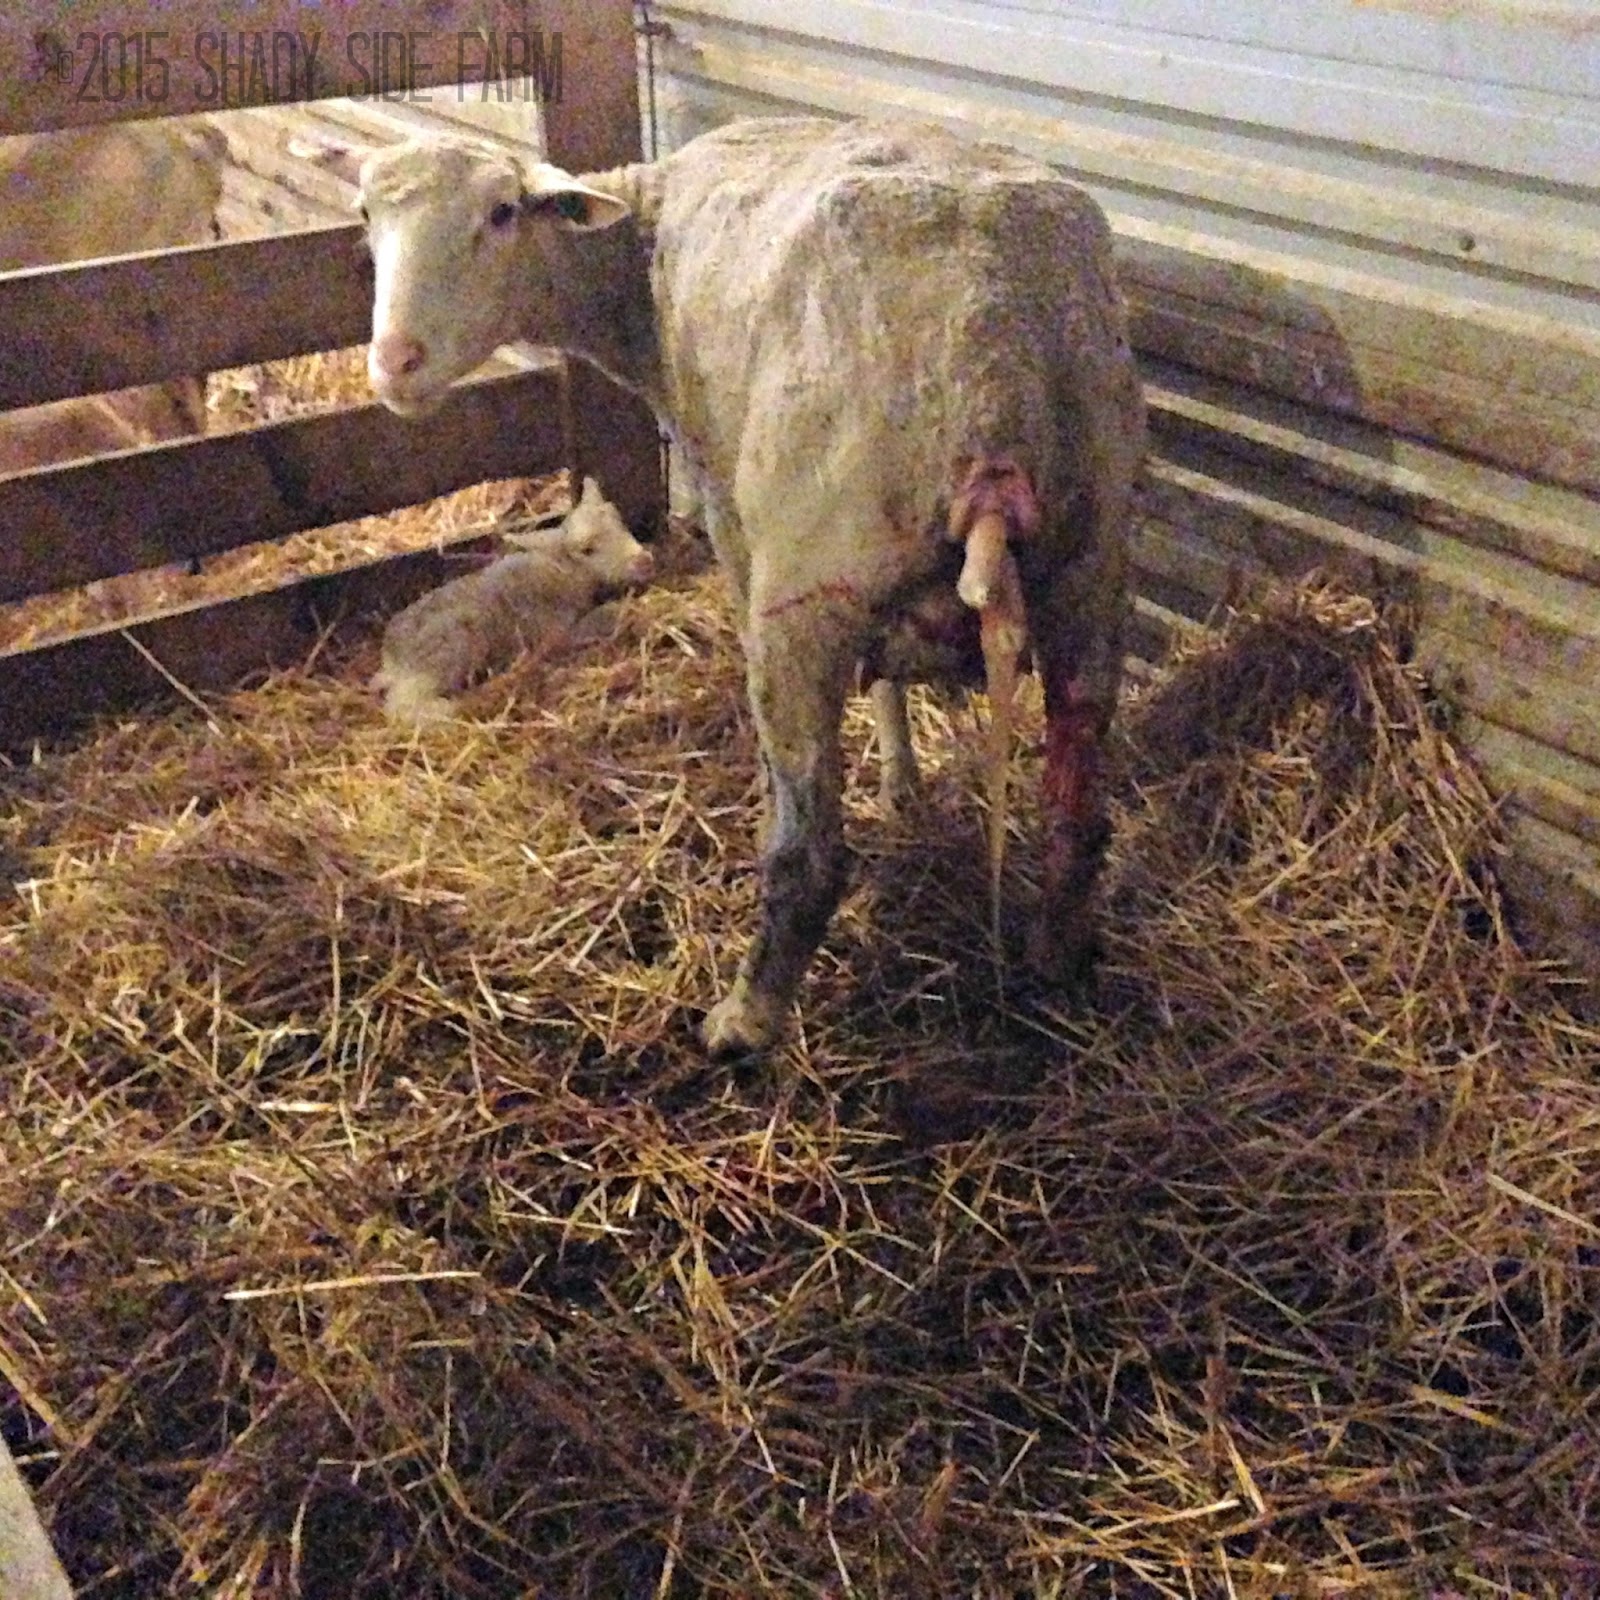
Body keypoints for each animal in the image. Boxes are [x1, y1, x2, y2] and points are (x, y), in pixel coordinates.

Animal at [373, 476, 654, 726]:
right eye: (587, 550)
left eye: (618, 520)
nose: (643, 561)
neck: (561, 570)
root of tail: (389, 657)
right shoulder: (556, 631)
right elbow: (600, 618)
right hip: (447, 653)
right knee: (402, 707)